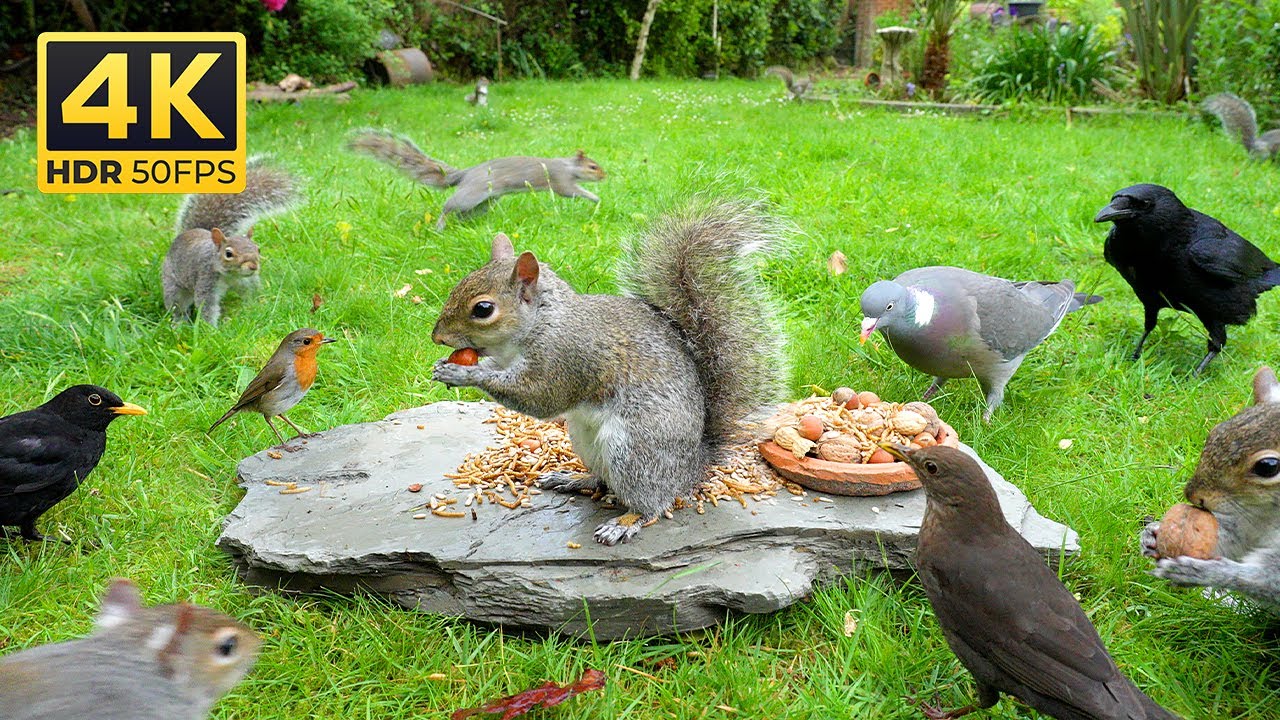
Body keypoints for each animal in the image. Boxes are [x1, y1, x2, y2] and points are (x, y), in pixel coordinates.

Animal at [160, 157, 301, 327]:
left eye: (258, 249)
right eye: (228, 254)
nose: (253, 266)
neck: (230, 276)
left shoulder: (245, 281)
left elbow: (252, 295)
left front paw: (258, 306)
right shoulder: (206, 280)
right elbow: (207, 307)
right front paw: (211, 329)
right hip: (173, 286)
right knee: (177, 307)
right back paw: (179, 324)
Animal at [347, 129, 606, 230]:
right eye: (593, 167)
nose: (605, 175)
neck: (568, 165)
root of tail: (465, 174)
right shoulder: (562, 180)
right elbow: (573, 191)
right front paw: (595, 198)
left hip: (486, 201)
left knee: (463, 214)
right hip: (471, 195)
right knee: (449, 207)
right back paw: (440, 226)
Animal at [430, 198, 788, 545]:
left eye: (483, 309)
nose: (437, 337)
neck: (542, 322)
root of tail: (692, 466)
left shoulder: (566, 359)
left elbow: (540, 398)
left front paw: (464, 375)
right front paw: (445, 366)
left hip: (634, 450)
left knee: (652, 503)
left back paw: (624, 522)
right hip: (584, 439)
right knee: (603, 480)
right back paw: (574, 478)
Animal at [1142, 366, 1280, 611]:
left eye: (1268, 466)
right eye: (1216, 431)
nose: (1193, 495)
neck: (1268, 514)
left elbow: (1268, 582)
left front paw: (1200, 572)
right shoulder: (1246, 523)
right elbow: (1228, 539)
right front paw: (1153, 534)